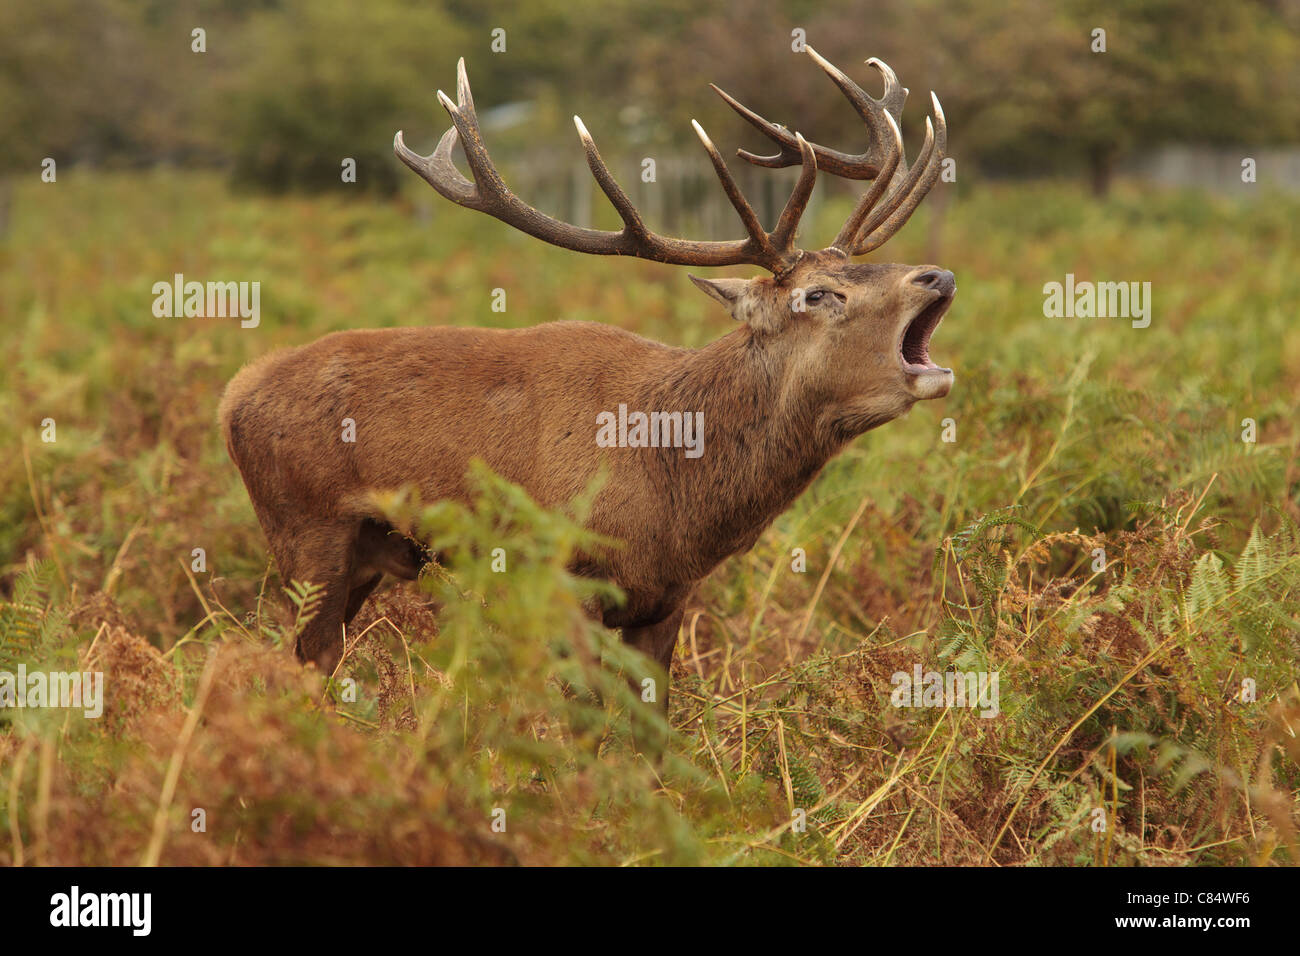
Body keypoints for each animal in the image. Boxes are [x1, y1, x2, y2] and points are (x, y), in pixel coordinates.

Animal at [219, 48, 955, 718]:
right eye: (817, 294)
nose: (938, 275)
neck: (677, 490)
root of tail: (234, 396)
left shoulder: (666, 601)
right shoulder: (567, 577)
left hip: (361, 557)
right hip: (305, 535)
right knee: (296, 660)